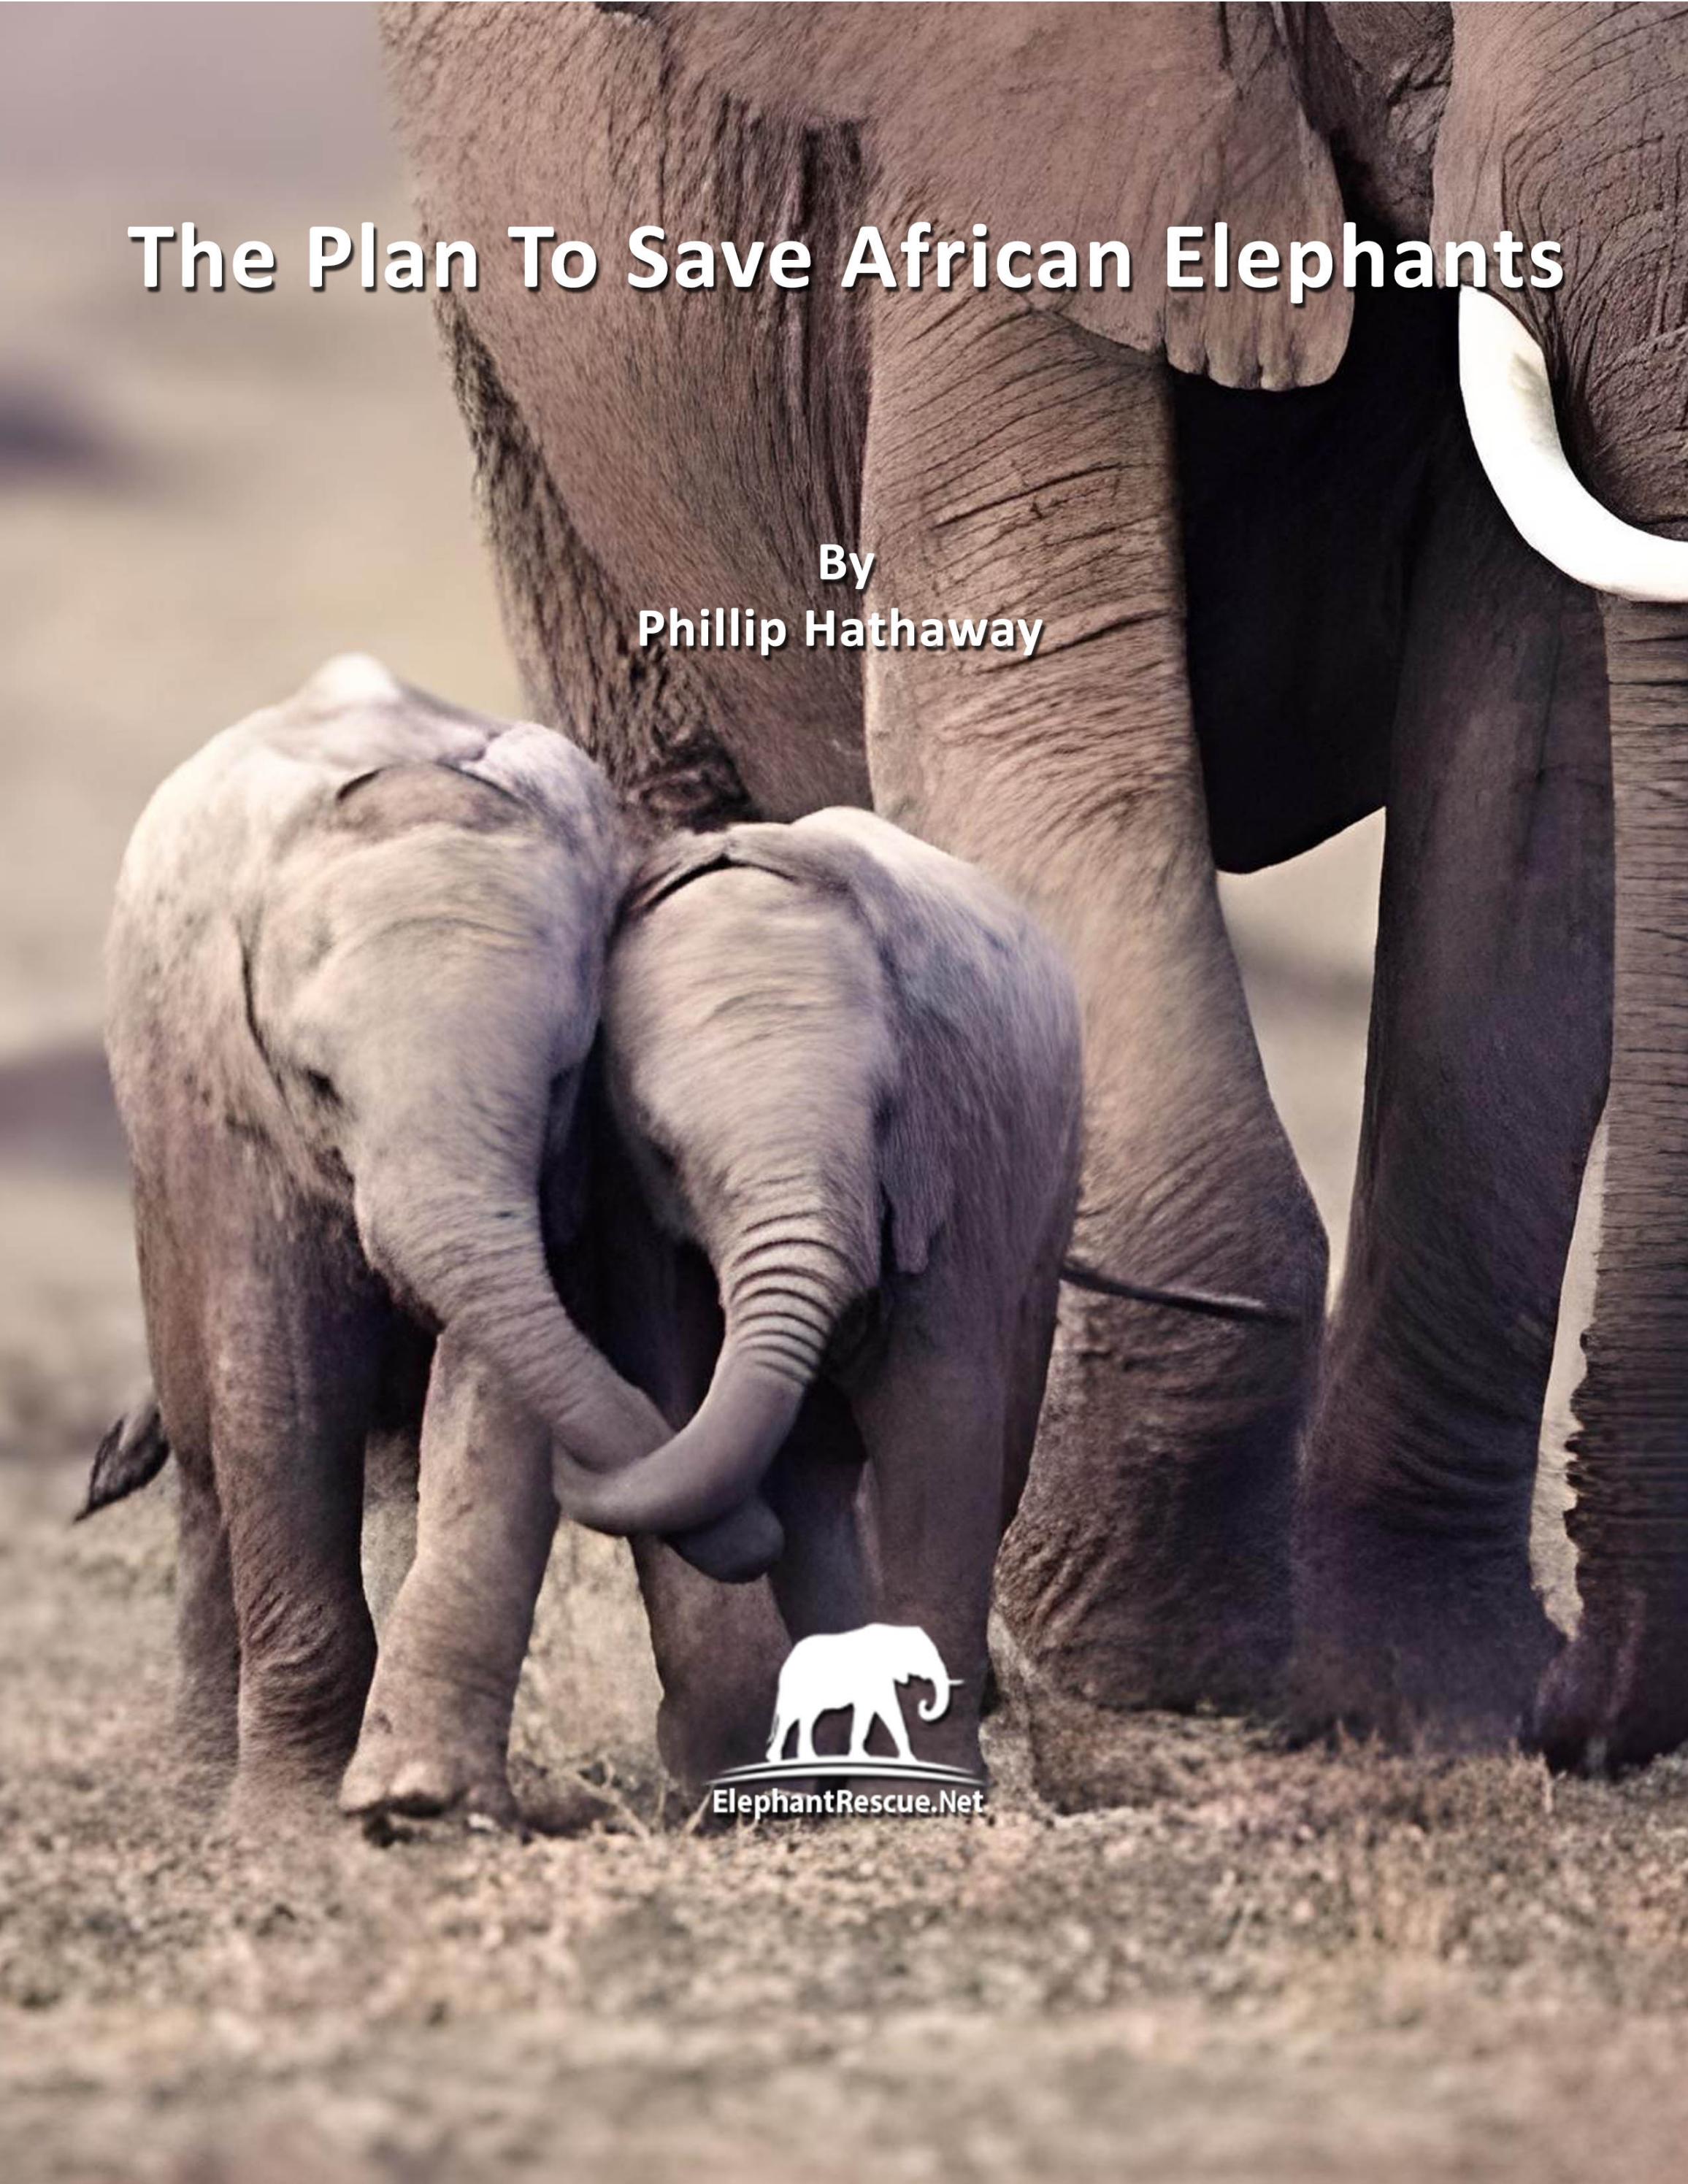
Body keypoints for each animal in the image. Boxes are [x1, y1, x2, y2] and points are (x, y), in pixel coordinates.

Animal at [102, 653, 688, 1817]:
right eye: (319, 1083)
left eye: (563, 1075)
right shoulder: (238, 1129)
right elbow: (281, 1398)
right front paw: (288, 1827)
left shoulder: (562, 1168)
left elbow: (494, 1394)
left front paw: (417, 1802)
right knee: (201, 1463)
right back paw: (193, 1787)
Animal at [766, 1625, 960, 1767]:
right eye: (924, 1655)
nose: (924, 1705)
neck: (895, 1631)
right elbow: (885, 1708)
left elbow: (874, 1711)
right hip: (797, 1688)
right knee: (790, 1717)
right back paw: (776, 1759)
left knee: (808, 1718)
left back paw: (809, 1758)